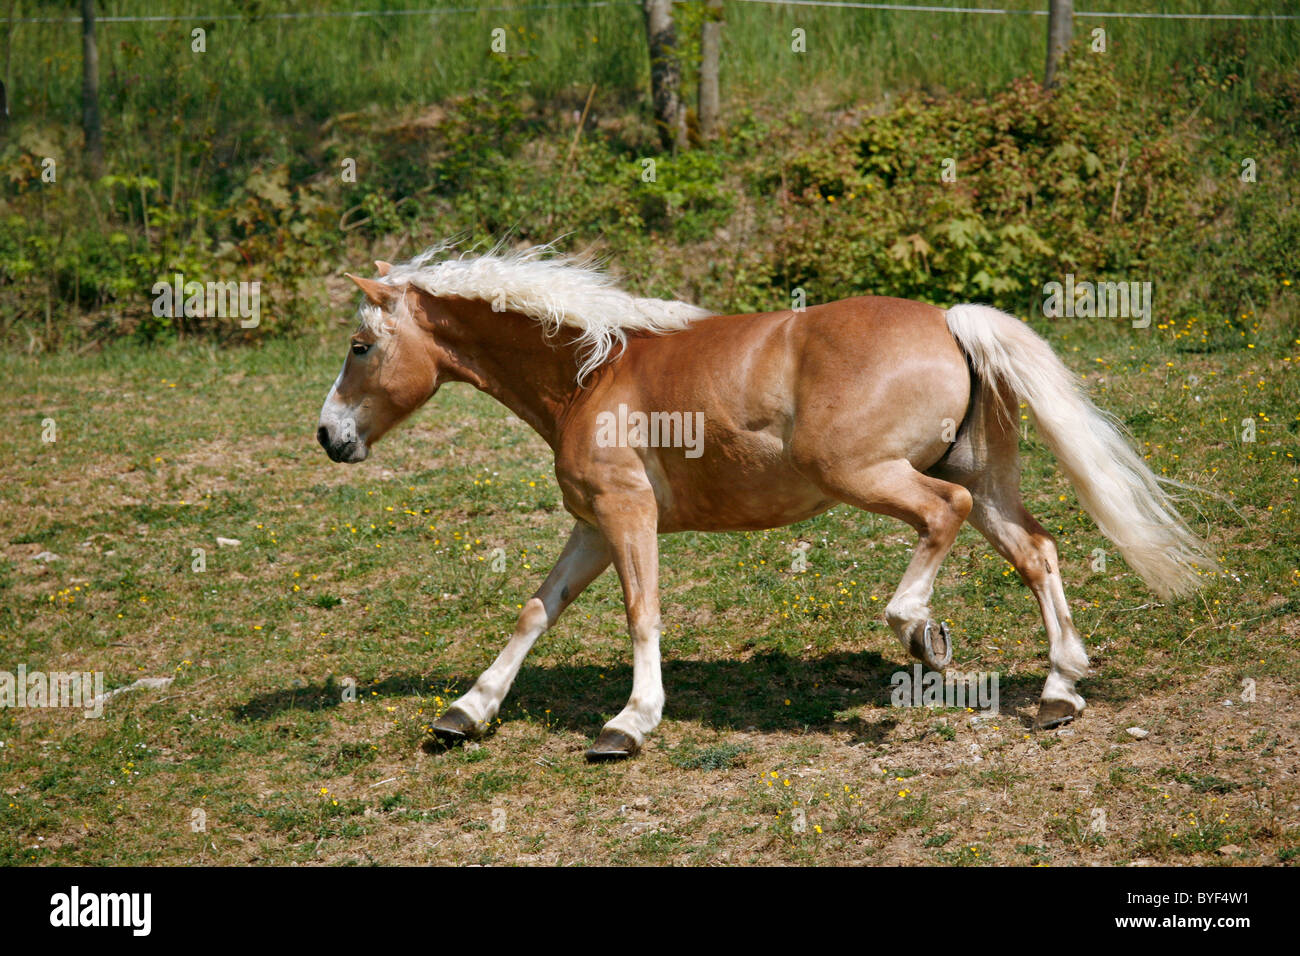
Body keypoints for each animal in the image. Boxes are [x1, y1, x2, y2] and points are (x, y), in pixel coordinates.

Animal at [316, 243, 1212, 760]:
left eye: (360, 347)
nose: (329, 436)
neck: (589, 373)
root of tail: (952, 321)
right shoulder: (593, 526)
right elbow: (537, 610)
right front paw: (465, 713)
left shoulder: (628, 516)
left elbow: (641, 614)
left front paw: (628, 724)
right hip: (986, 482)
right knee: (1037, 551)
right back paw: (1060, 691)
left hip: (866, 474)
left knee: (943, 514)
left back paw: (922, 634)